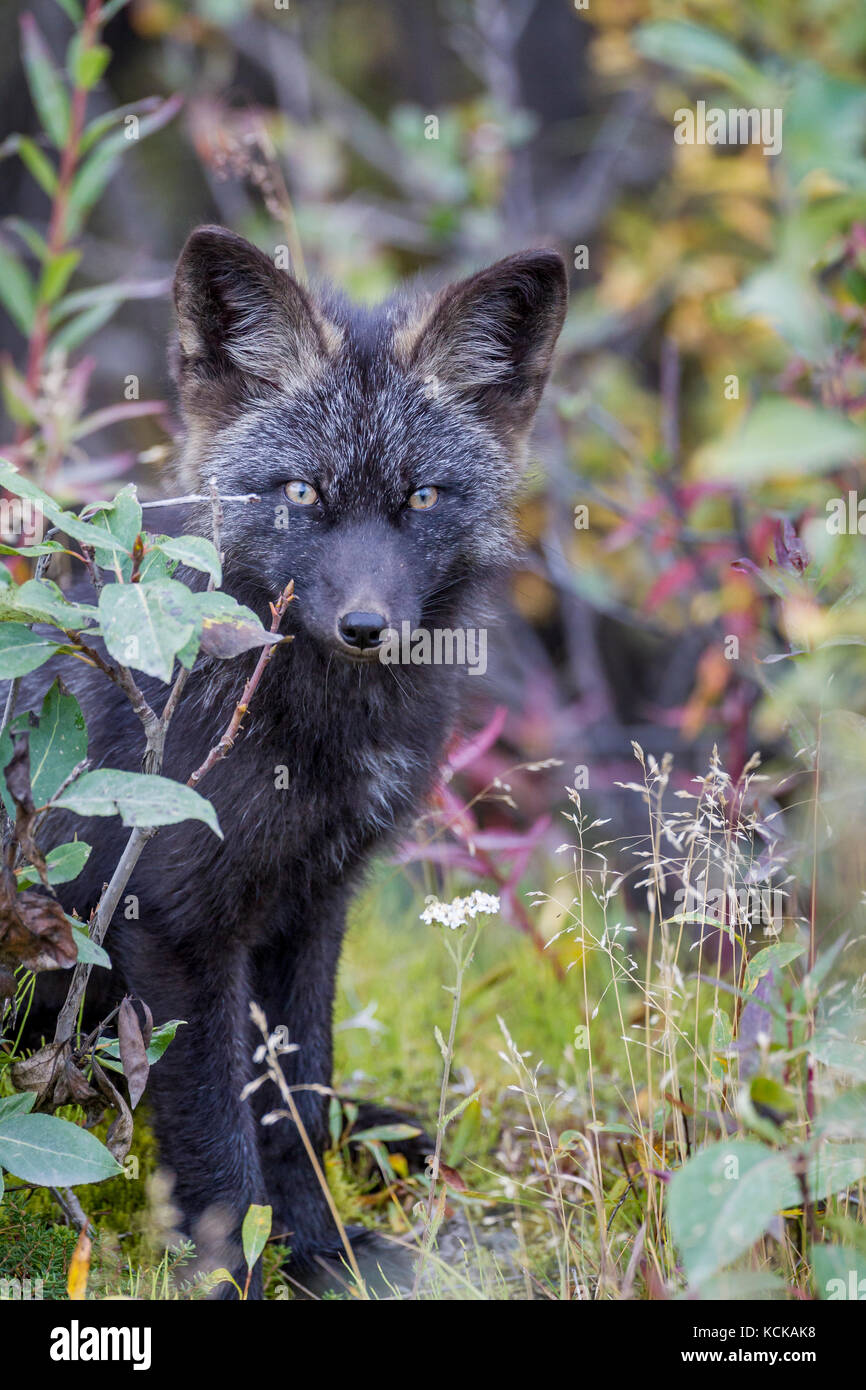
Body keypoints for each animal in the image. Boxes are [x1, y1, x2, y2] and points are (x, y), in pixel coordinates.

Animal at [19, 227, 567, 1296]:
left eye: (422, 498)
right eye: (303, 493)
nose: (365, 625)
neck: (310, 732)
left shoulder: (314, 902)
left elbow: (295, 1103)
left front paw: (320, 1252)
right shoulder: (175, 922)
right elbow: (218, 1136)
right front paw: (238, 1269)